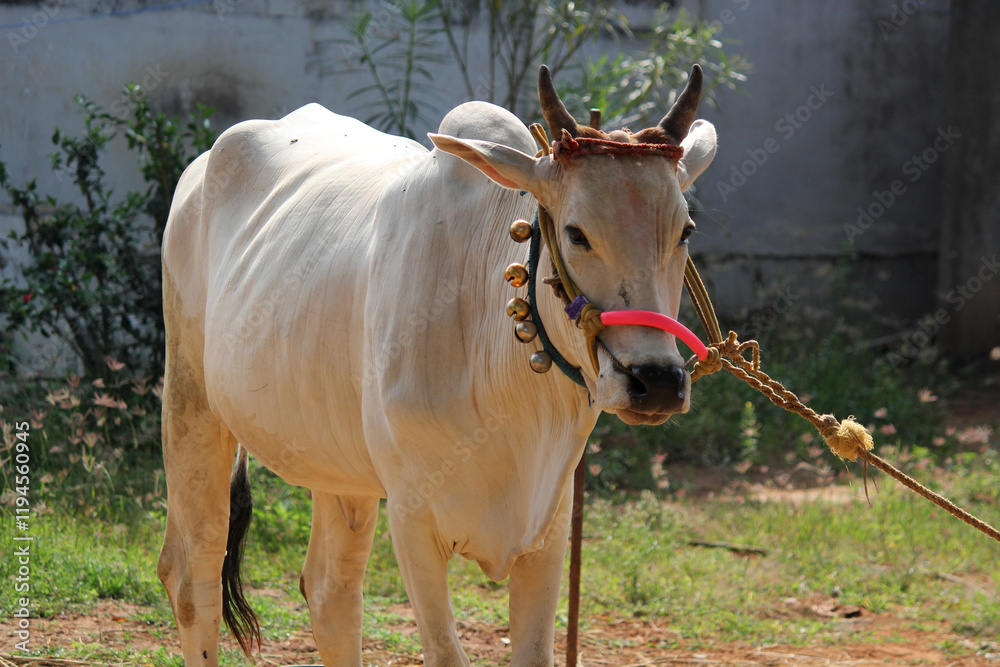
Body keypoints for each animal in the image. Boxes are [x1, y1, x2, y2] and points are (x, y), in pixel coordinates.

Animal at [157, 64, 717, 666]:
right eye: (576, 232)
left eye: (685, 231)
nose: (655, 382)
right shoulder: (412, 521)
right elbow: (445, 652)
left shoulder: (549, 523)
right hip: (191, 402)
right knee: (193, 576)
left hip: (338, 461)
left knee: (330, 592)